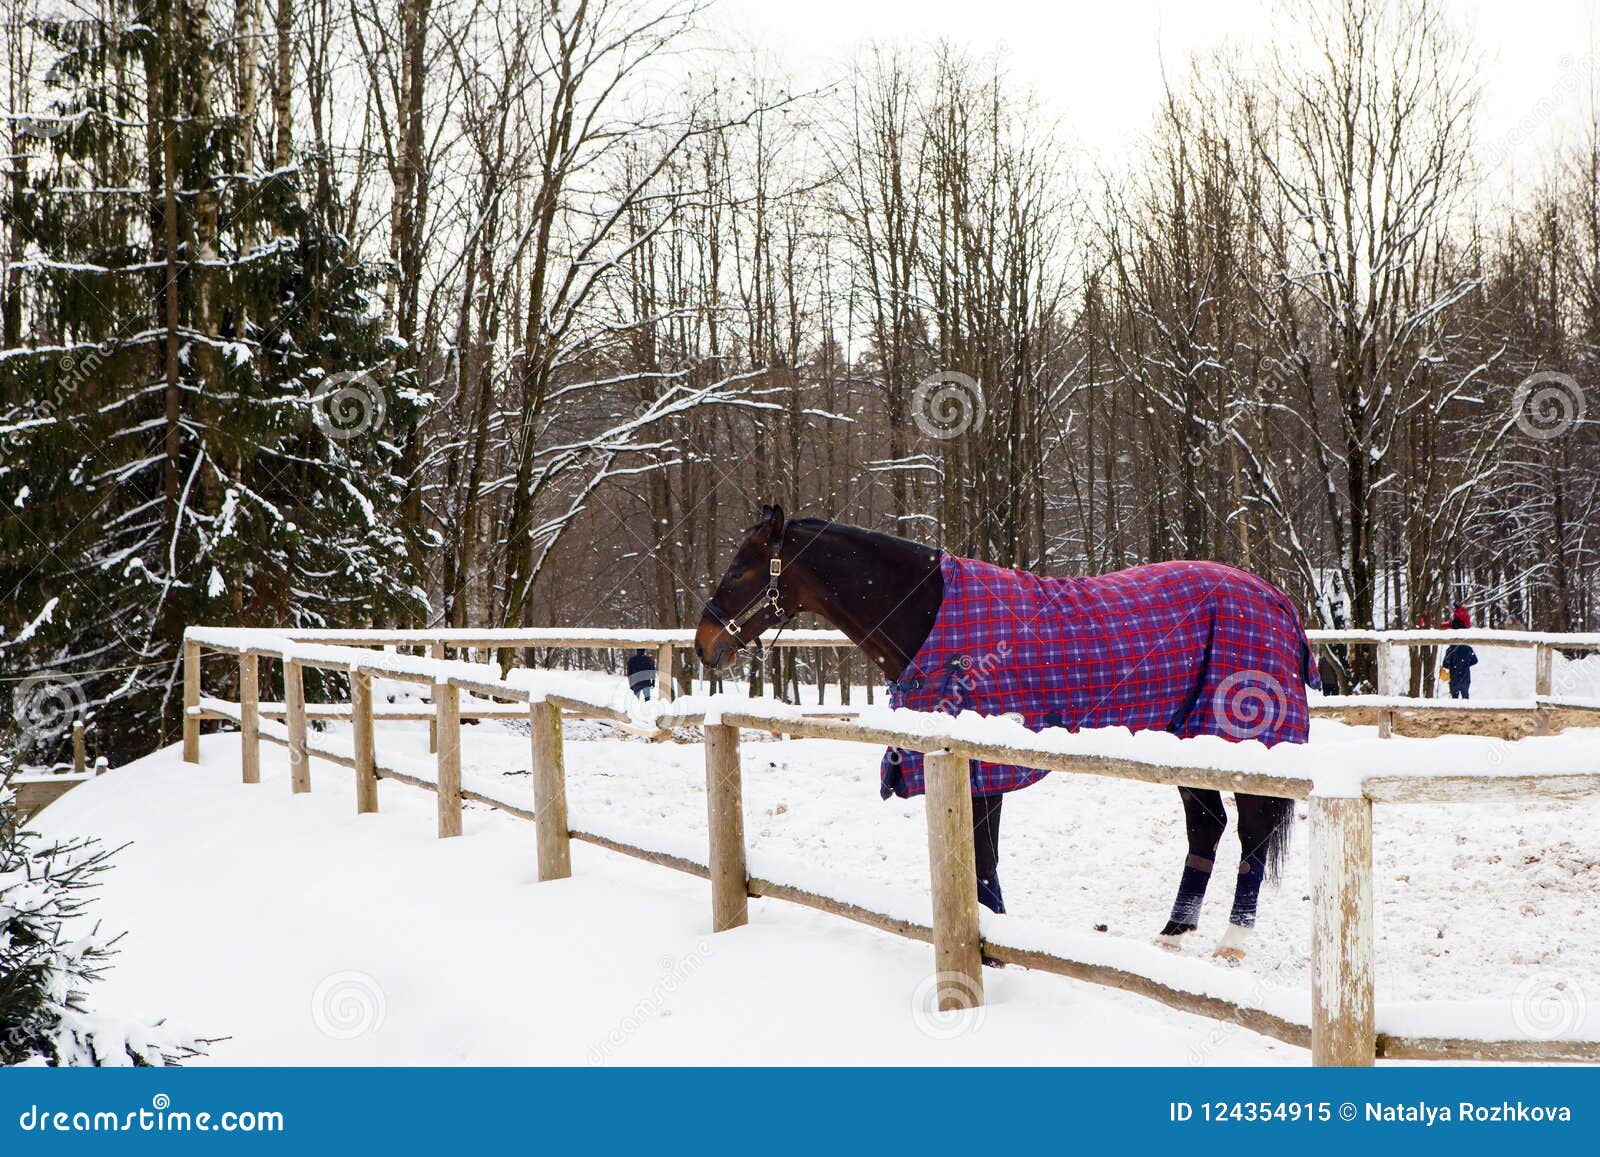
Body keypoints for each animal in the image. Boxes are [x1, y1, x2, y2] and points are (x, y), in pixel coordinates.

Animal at [693, 505, 1320, 962]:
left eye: (741, 570)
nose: (704, 645)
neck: (933, 618)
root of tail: (1276, 599)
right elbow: (978, 865)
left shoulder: (979, 770)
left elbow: (983, 865)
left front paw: (990, 950)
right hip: (1185, 742)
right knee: (1207, 826)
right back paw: (1174, 933)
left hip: (1240, 743)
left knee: (1253, 833)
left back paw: (1232, 943)